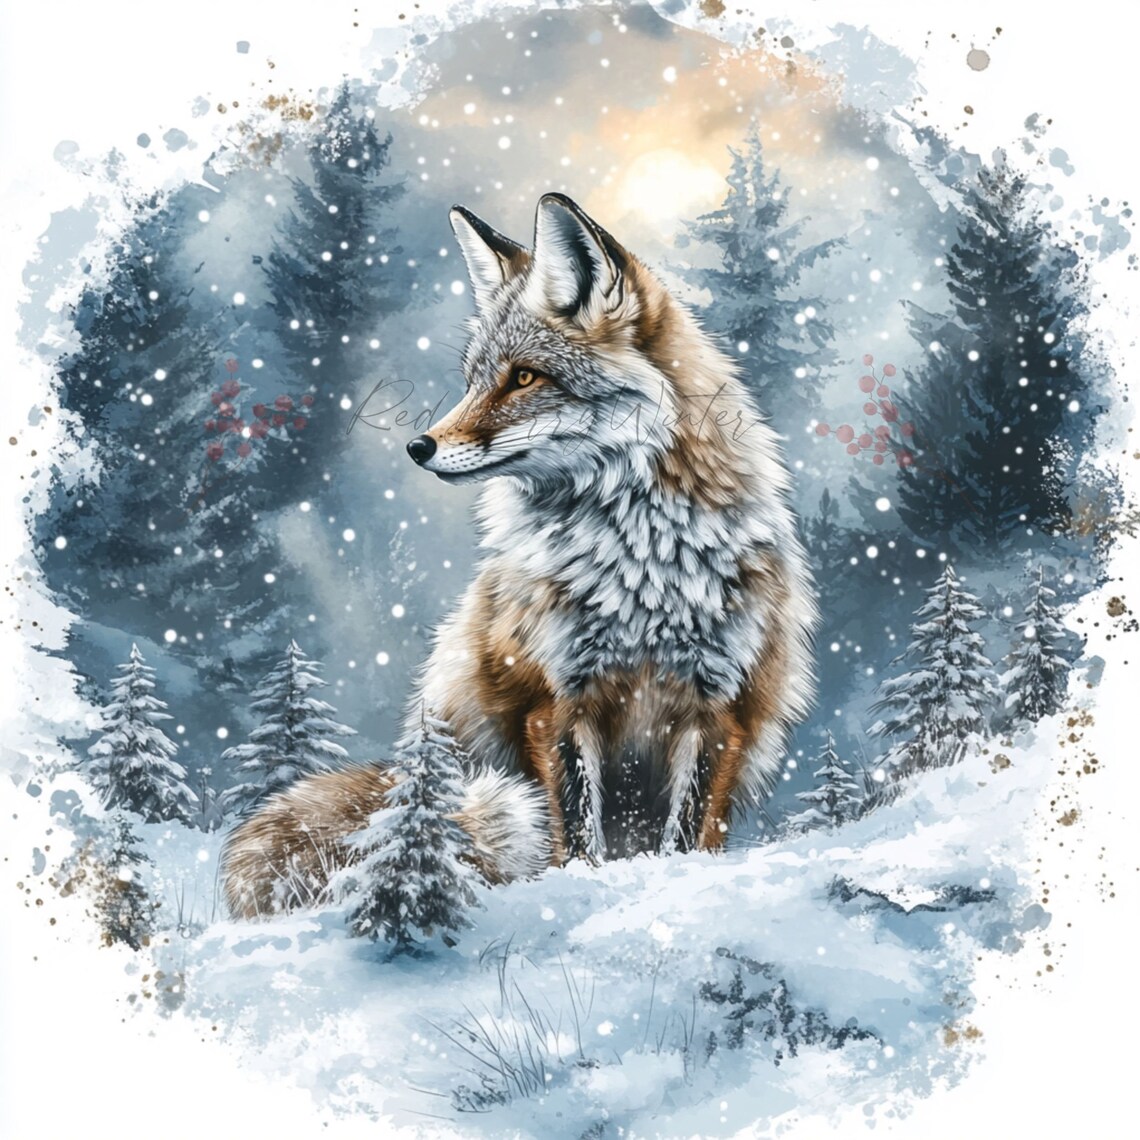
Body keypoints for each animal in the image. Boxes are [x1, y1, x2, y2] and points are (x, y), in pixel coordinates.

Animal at [221, 193, 818, 919]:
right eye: (474, 381)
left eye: (525, 377)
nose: (419, 447)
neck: (641, 576)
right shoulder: (553, 700)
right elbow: (578, 832)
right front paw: (583, 888)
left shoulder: (721, 707)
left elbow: (686, 834)